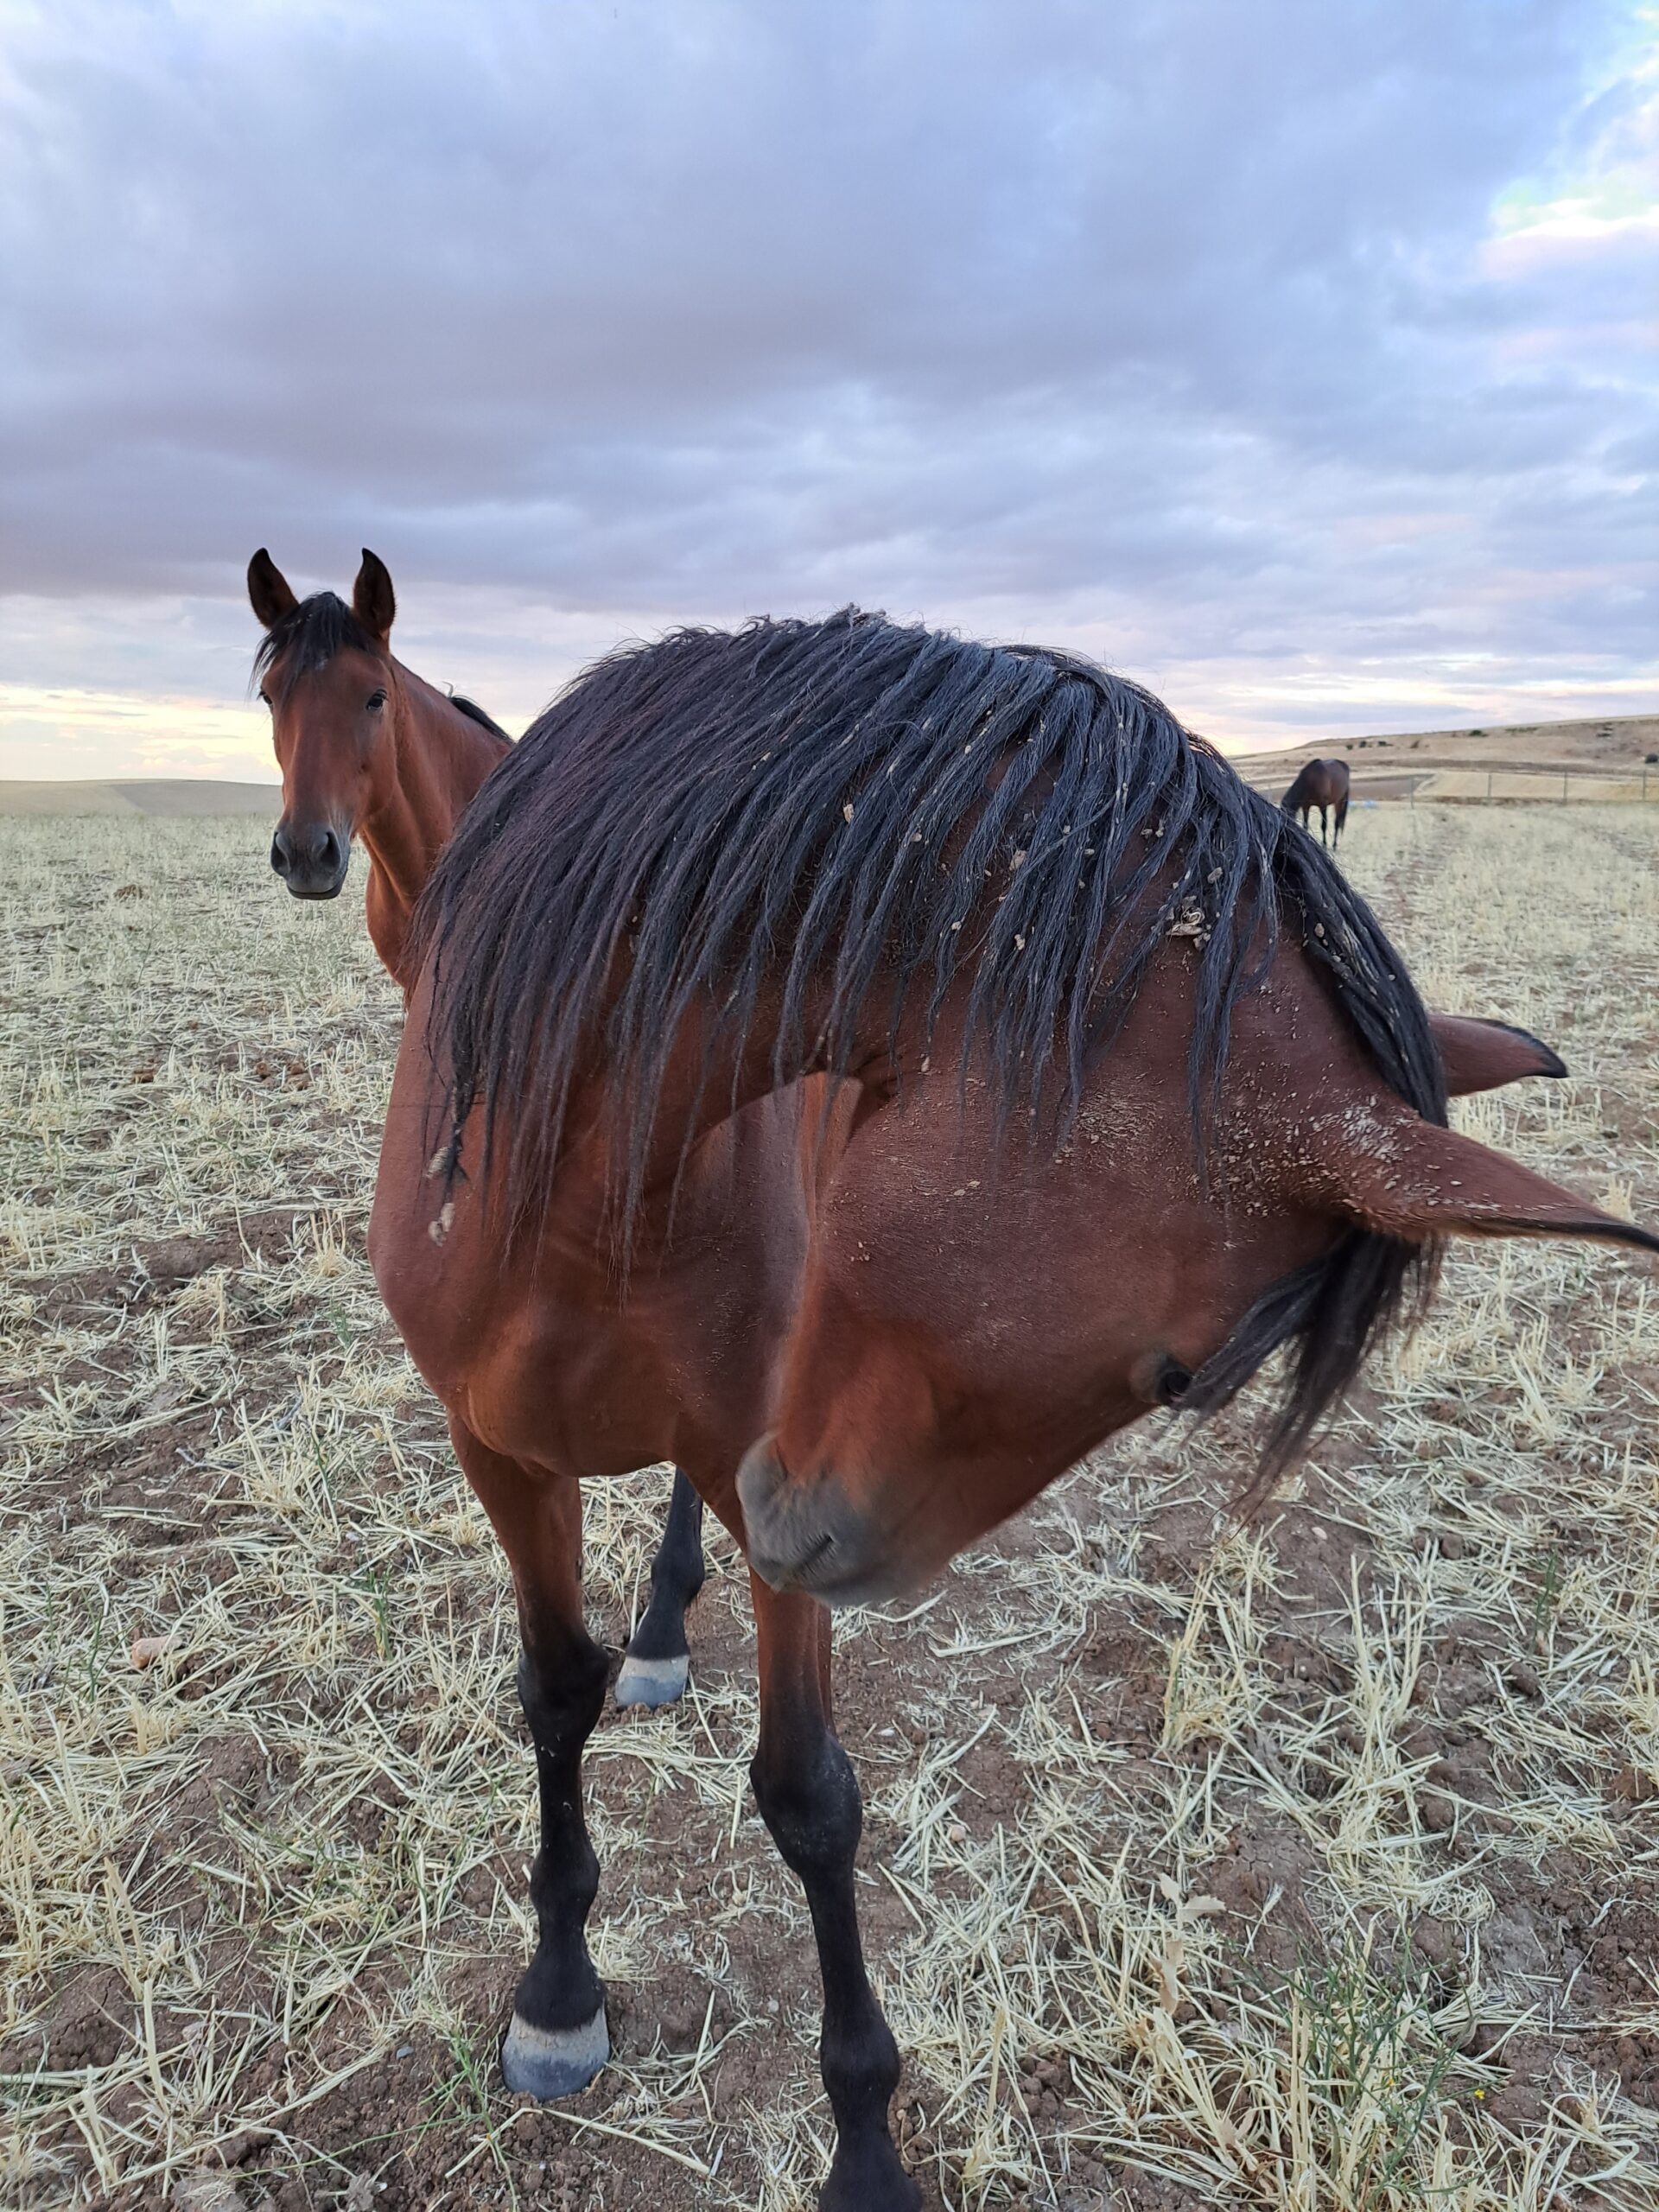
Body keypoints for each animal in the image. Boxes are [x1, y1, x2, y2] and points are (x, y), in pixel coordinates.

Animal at [371, 610, 1654, 2210]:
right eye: (1181, 1365)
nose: (808, 1536)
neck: (561, 1166)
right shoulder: (498, 1453)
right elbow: (555, 1698)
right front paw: (555, 1996)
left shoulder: (757, 1456)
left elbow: (808, 1798)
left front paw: (865, 2143)